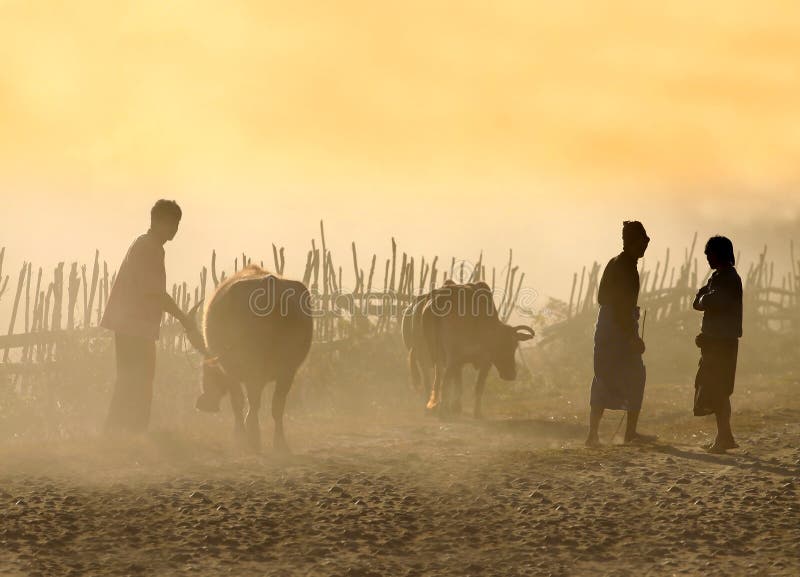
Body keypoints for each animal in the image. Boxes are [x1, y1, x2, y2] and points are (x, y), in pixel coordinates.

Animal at [188, 265, 313, 452]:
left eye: (208, 371)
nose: (204, 404)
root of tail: (270, 284)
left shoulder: (231, 371)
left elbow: (238, 402)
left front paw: (239, 437)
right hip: (287, 369)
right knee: (277, 404)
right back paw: (280, 444)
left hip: (253, 364)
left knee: (253, 401)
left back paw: (253, 438)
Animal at [420, 281, 534, 418]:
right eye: (508, 346)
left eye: (514, 345)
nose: (510, 374)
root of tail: (439, 300)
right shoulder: (486, 361)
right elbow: (478, 387)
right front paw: (477, 413)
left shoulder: (460, 362)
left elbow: (459, 385)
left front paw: (456, 407)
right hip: (452, 357)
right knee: (445, 381)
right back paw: (443, 412)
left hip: (437, 354)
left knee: (438, 380)